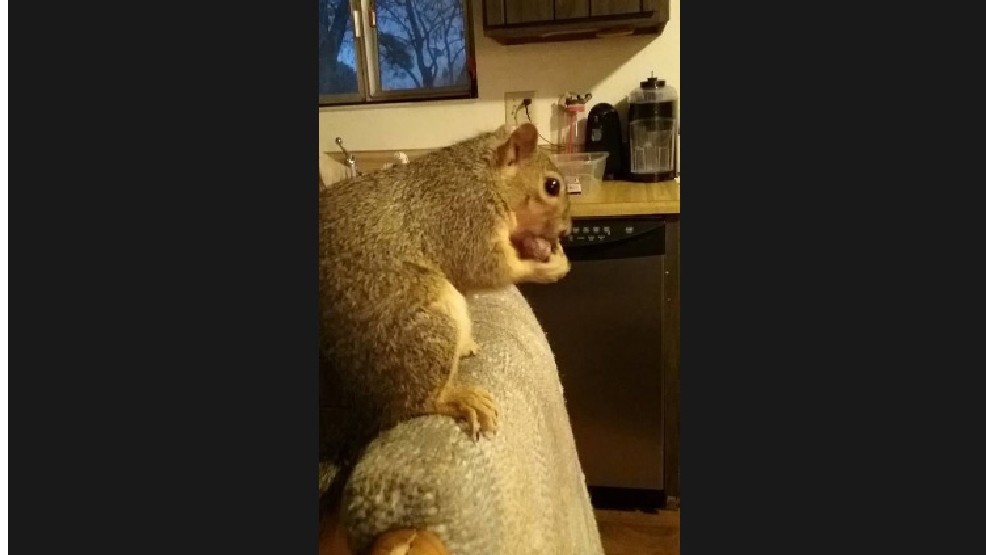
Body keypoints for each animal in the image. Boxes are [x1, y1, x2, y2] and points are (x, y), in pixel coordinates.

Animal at [318, 123, 573, 456]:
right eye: (552, 186)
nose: (567, 229)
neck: (484, 175)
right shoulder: (464, 218)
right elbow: (488, 268)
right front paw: (553, 266)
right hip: (418, 326)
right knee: (415, 402)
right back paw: (460, 399)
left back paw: (465, 346)